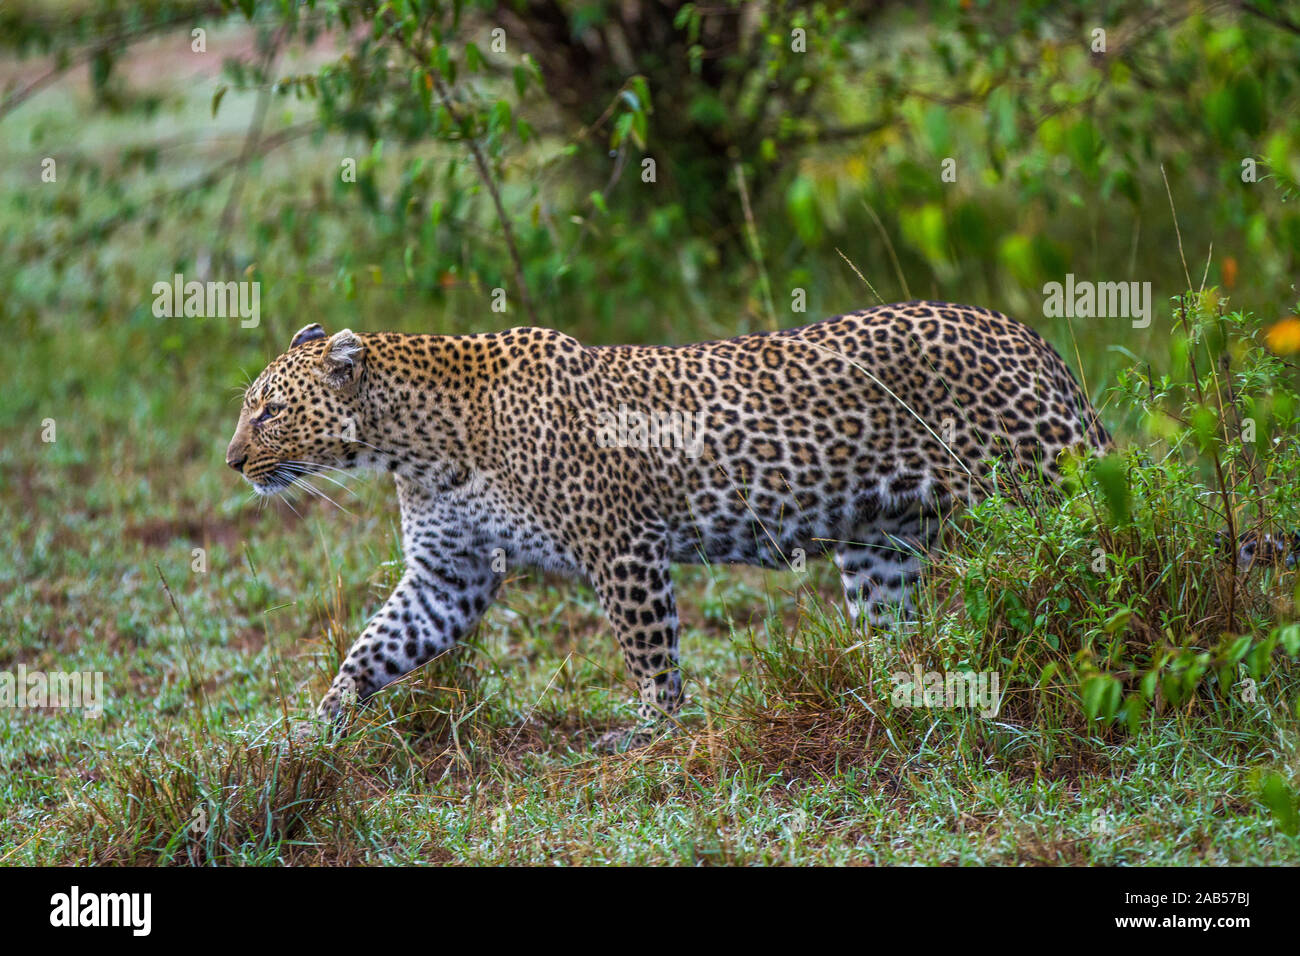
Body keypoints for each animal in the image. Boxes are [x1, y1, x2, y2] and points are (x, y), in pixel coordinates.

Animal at [224, 301, 1109, 747]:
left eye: (268, 411)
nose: (231, 460)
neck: (415, 445)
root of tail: (1028, 335)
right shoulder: (451, 573)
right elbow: (375, 646)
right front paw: (316, 726)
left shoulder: (622, 547)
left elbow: (647, 649)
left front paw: (651, 732)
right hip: (881, 542)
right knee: (896, 632)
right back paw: (894, 700)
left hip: (1041, 487)